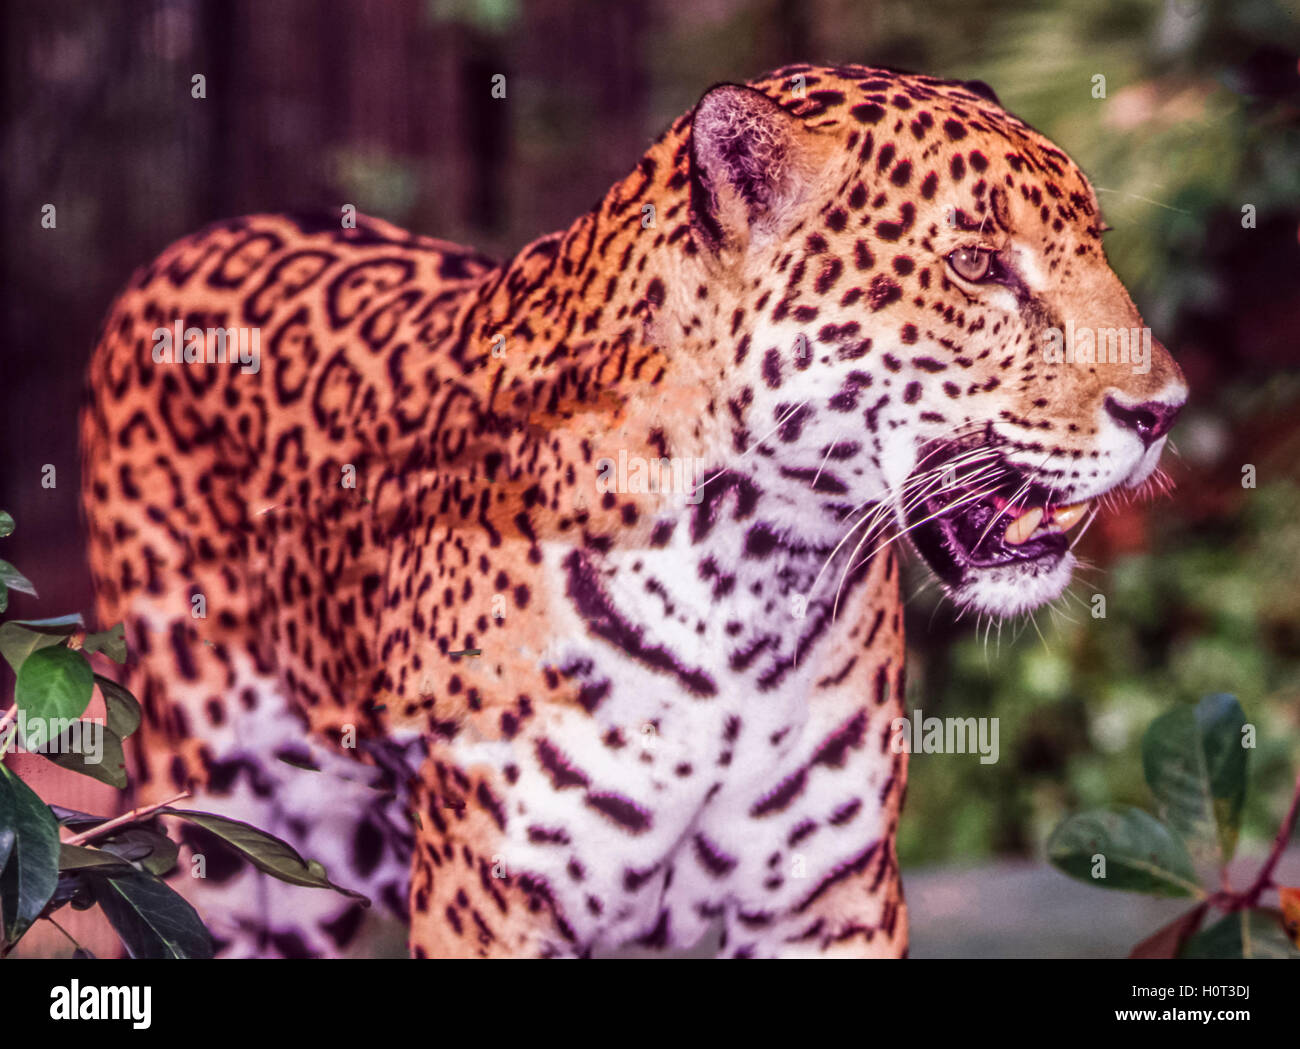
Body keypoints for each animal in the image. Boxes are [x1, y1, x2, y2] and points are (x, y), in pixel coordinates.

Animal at [81, 63, 1186, 959]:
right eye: (974, 264)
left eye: (1096, 245)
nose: (1165, 409)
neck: (751, 581)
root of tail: (189, 244)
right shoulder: (491, 902)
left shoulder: (833, 899)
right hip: (215, 853)